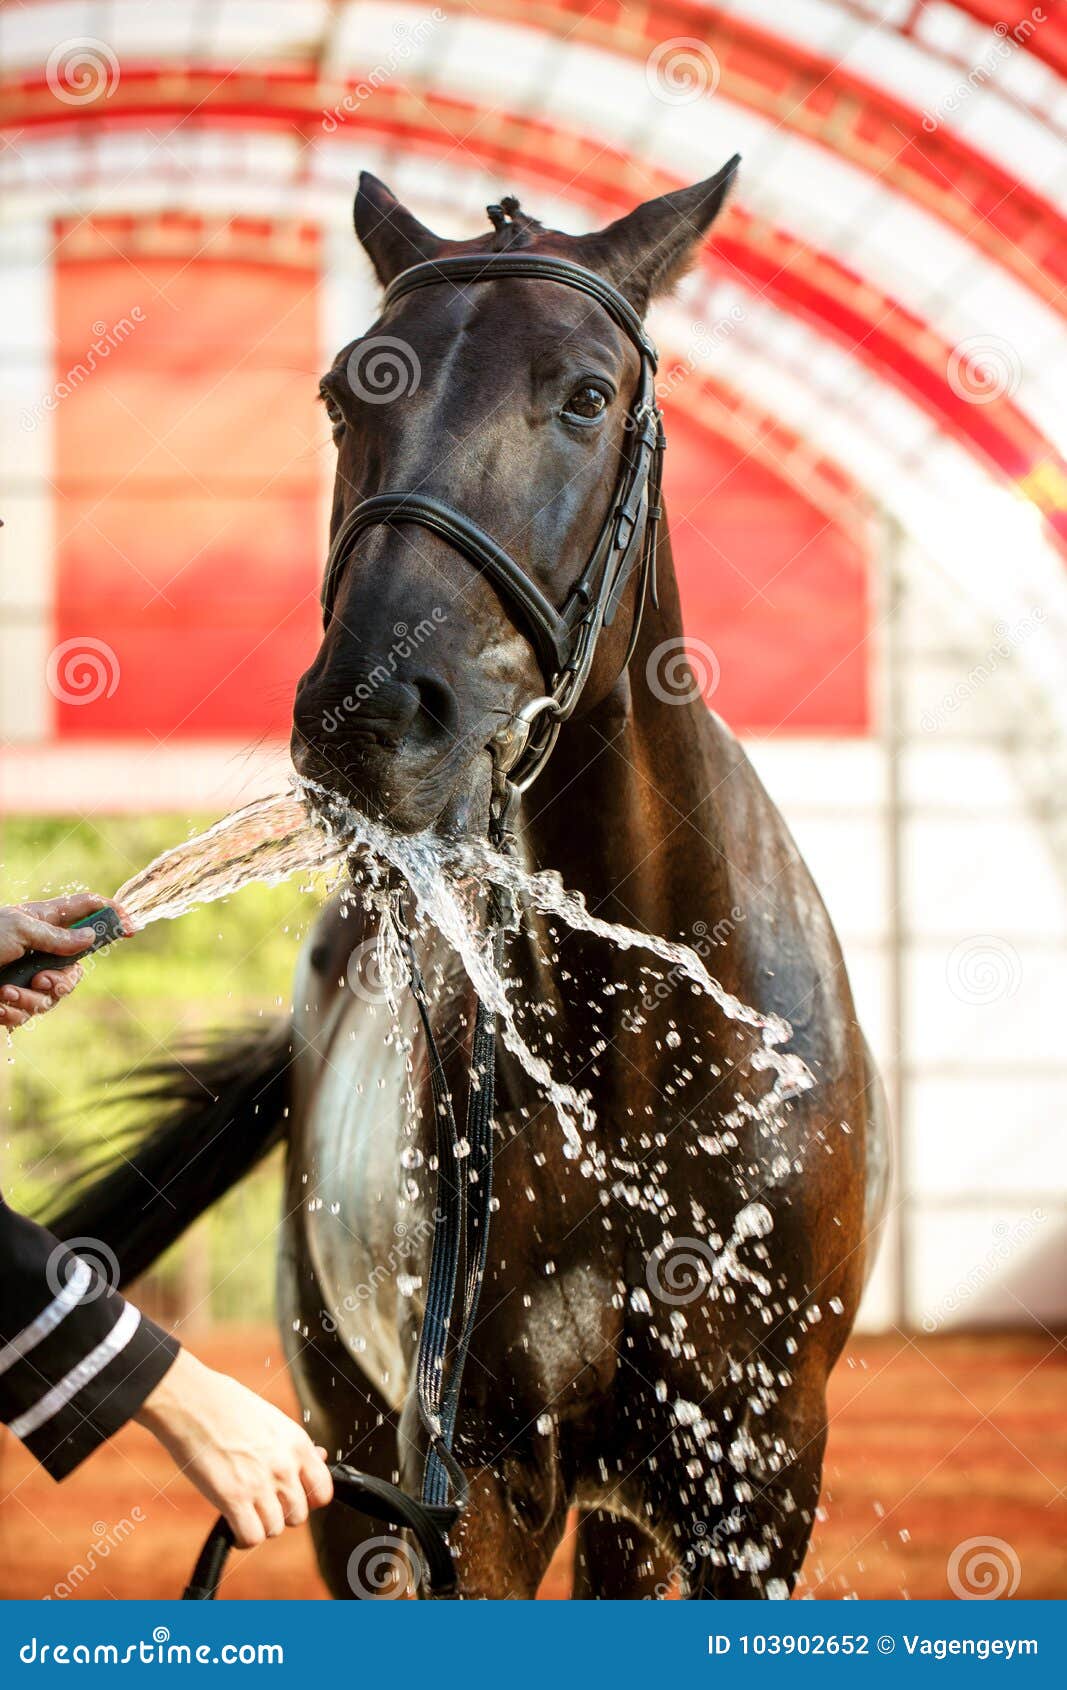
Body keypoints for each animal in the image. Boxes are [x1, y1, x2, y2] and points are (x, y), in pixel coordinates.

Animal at [53, 162, 889, 1599]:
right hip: (349, 1463)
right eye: (346, 394)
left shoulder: (753, 1480)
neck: (638, 1059)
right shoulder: (473, 1483)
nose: (370, 715)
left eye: (587, 395)